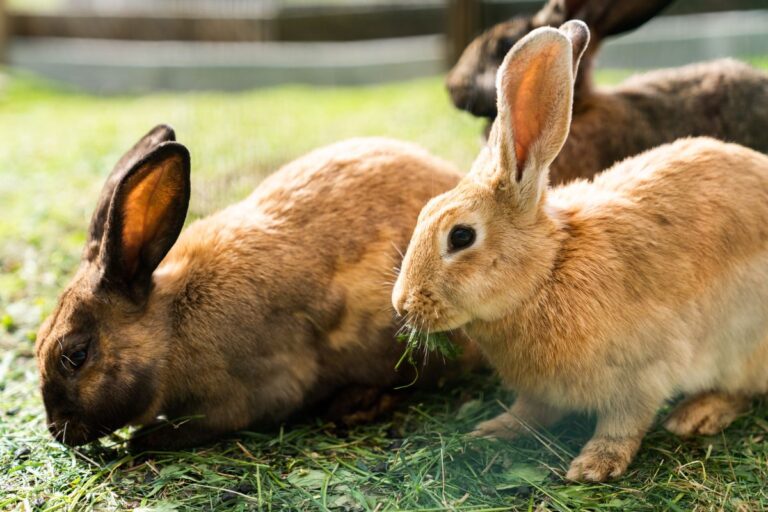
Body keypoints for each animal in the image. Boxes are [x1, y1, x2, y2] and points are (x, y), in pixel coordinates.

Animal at [393, 20, 768, 482]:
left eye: (461, 237)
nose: (402, 304)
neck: (549, 271)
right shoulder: (541, 392)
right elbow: (531, 410)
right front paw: (495, 429)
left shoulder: (645, 372)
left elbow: (624, 423)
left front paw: (594, 465)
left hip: (746, 345)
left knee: (744, 390)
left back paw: (696, 414)